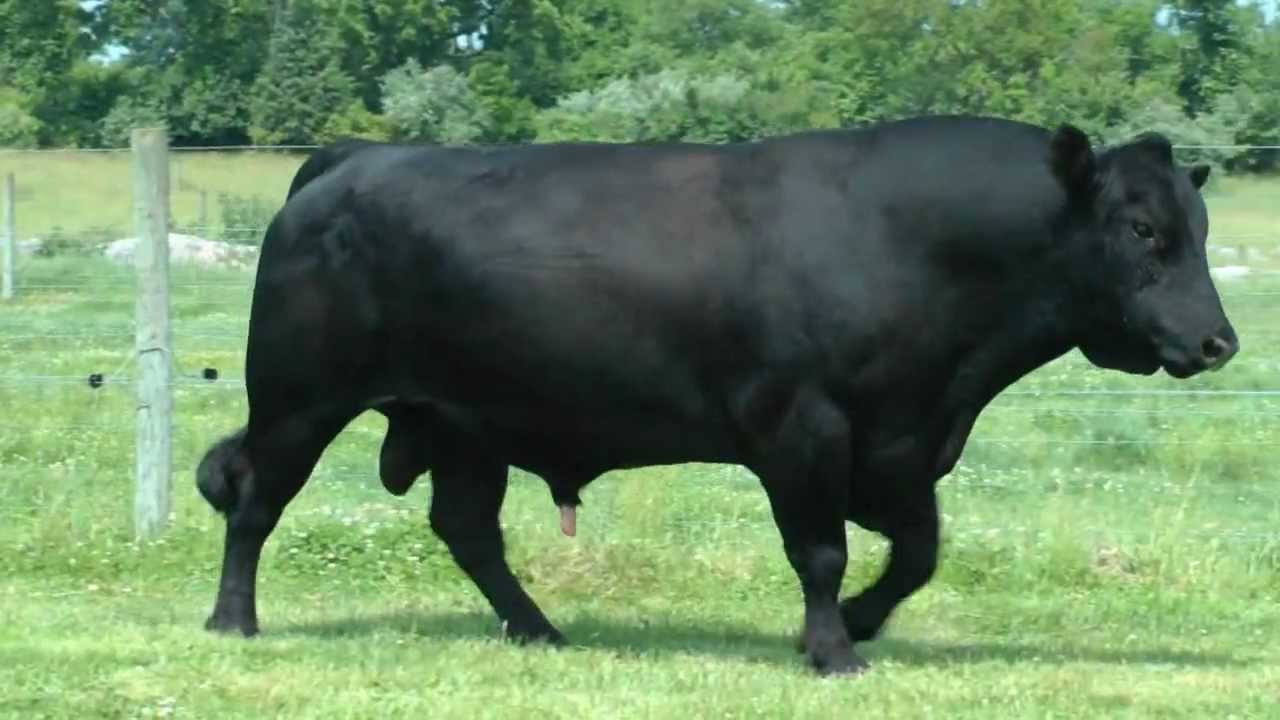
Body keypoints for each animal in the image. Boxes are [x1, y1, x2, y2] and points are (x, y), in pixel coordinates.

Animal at [196, 115, 1238, 675]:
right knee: (254, 504)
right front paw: (835, 647)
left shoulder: (900, 444)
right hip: (299, 398)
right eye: (1142, 229)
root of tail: (347, 157)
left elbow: (918, 555)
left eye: (1195, 226)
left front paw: (860, 621)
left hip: (462, 423)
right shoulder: (802, 428)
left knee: (466, 530)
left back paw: (538, 629)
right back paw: (232, 620)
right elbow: (821, 551)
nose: (1217, 340)